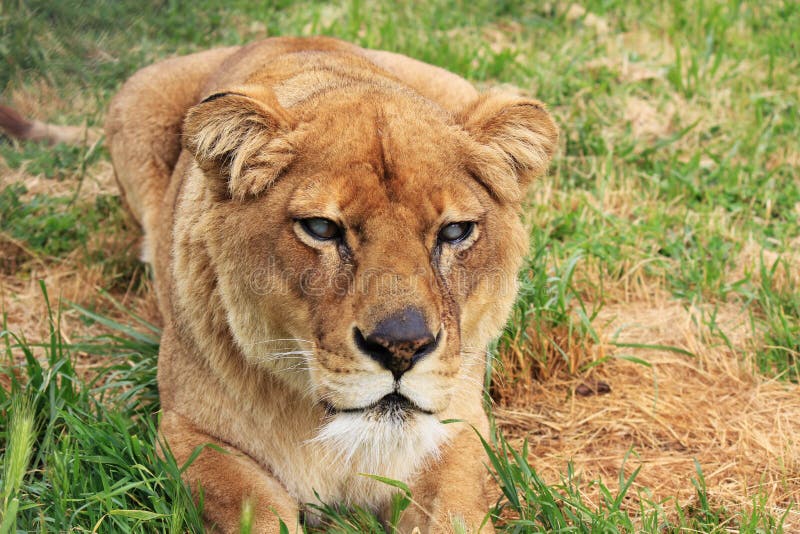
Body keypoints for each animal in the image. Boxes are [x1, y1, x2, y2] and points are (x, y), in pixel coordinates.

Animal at [1, 36, 557, 532]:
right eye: (321, 228)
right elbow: (259, 512)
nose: (401, 348)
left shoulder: (459, 430)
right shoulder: (188, 433)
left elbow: (455, 513)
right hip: (134, 100)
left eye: (455, 232)